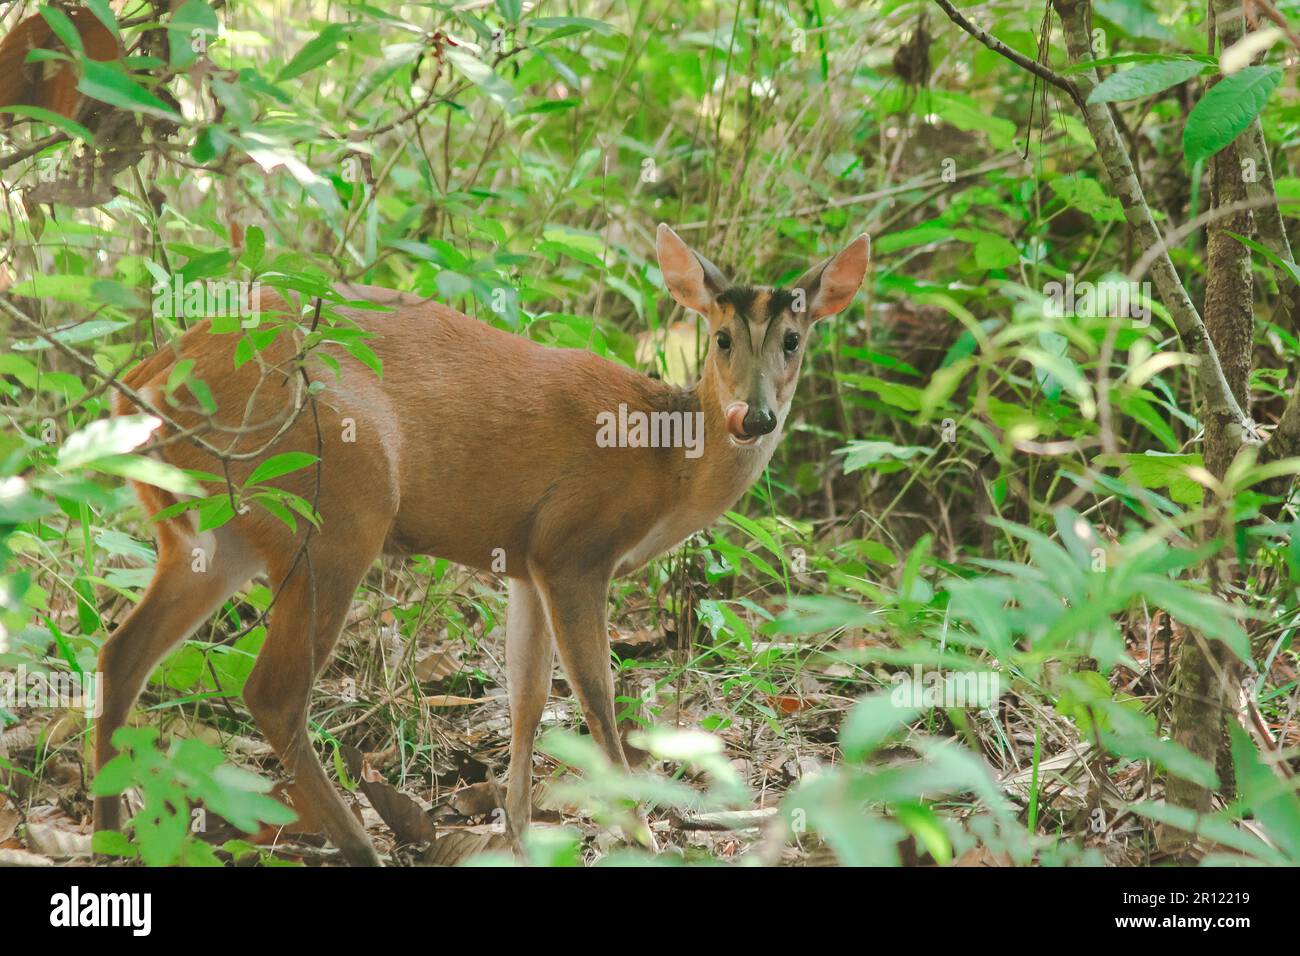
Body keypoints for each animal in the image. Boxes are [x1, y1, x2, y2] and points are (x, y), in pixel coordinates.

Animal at [93, 224, 870, 865]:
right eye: (722, 338)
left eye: (793, 340)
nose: (754, 416)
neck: (665, 463)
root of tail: (146, 382)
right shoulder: (574, 546)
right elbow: (595, 695)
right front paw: (642, 832)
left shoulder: (526, 561)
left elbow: (527, 699)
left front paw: (519, 834)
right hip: (337, 500)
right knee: (272, 691)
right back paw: (357, 847)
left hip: (216, 535)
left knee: (121, 652)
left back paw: (108, 833)